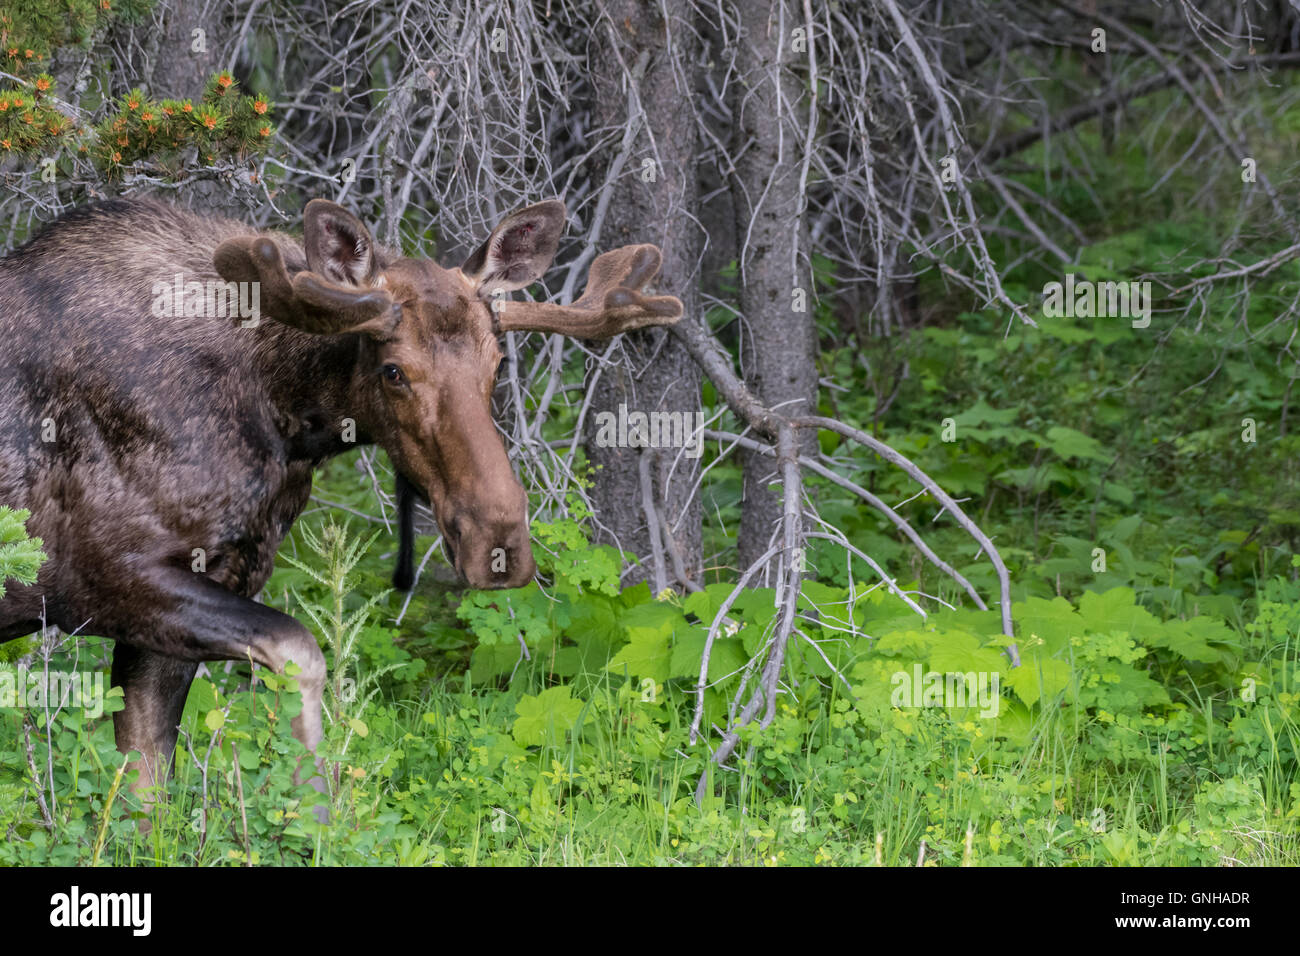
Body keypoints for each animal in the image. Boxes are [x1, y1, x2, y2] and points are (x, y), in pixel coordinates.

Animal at [0, 196, 682, 813]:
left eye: (497, 362)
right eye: (393, 371)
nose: (501, 543)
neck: (281, 421)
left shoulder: (205, 585)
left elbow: (145, 799)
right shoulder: (95, 578)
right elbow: (300, 654)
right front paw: (317, 817)